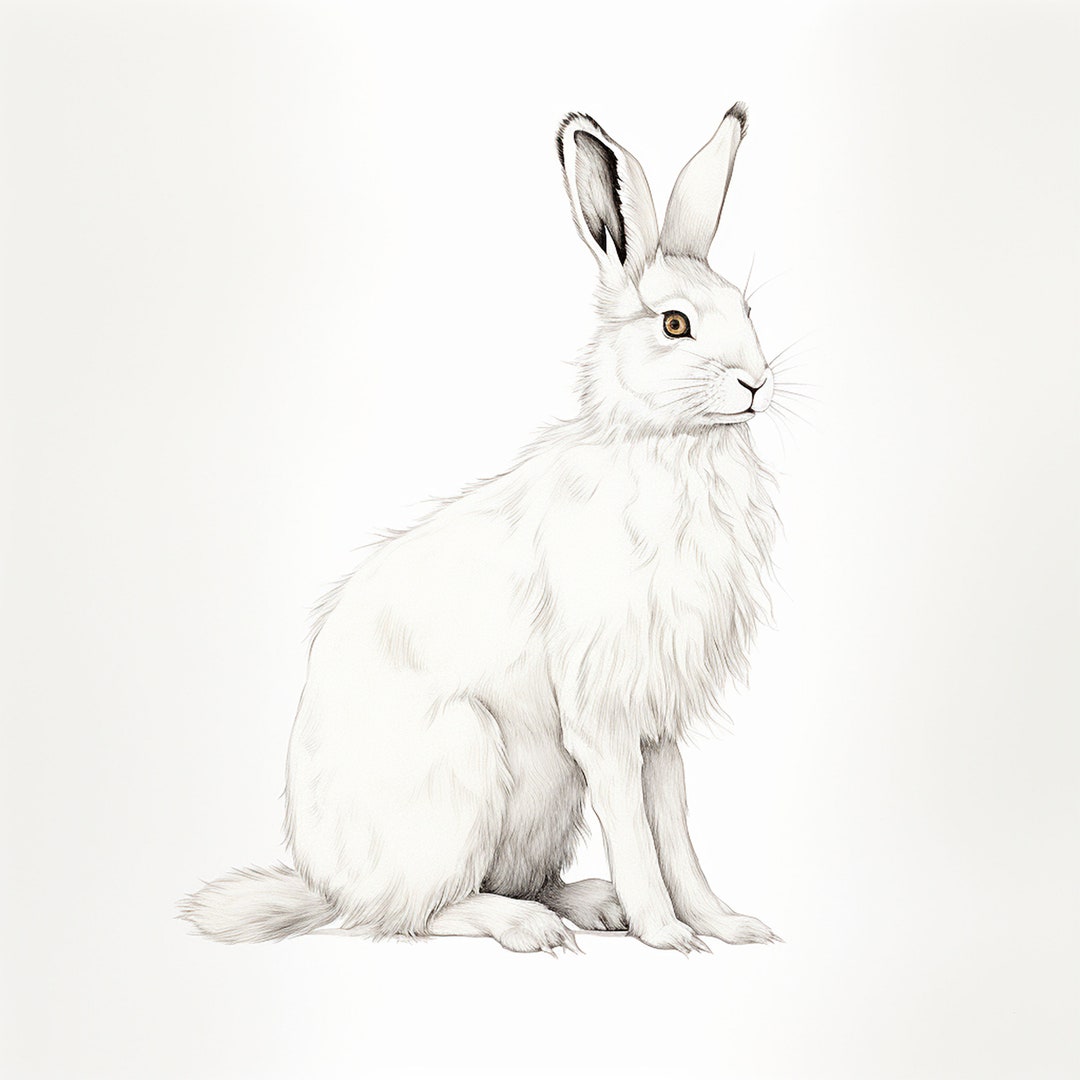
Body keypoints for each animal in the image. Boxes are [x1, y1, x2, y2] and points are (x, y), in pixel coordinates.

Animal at [180, 102, 782, 954]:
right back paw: (529, 928)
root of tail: (324, 884)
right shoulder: (600, 715)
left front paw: (725, 925)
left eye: (749, 311)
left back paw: (590, 906)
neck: (669, 448)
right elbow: (636, 831)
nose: (756, 383)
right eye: (675, 324)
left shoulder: (657, 724)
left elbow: (674, 828)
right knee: (414, 914)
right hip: (463, 767)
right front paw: (667, 935)